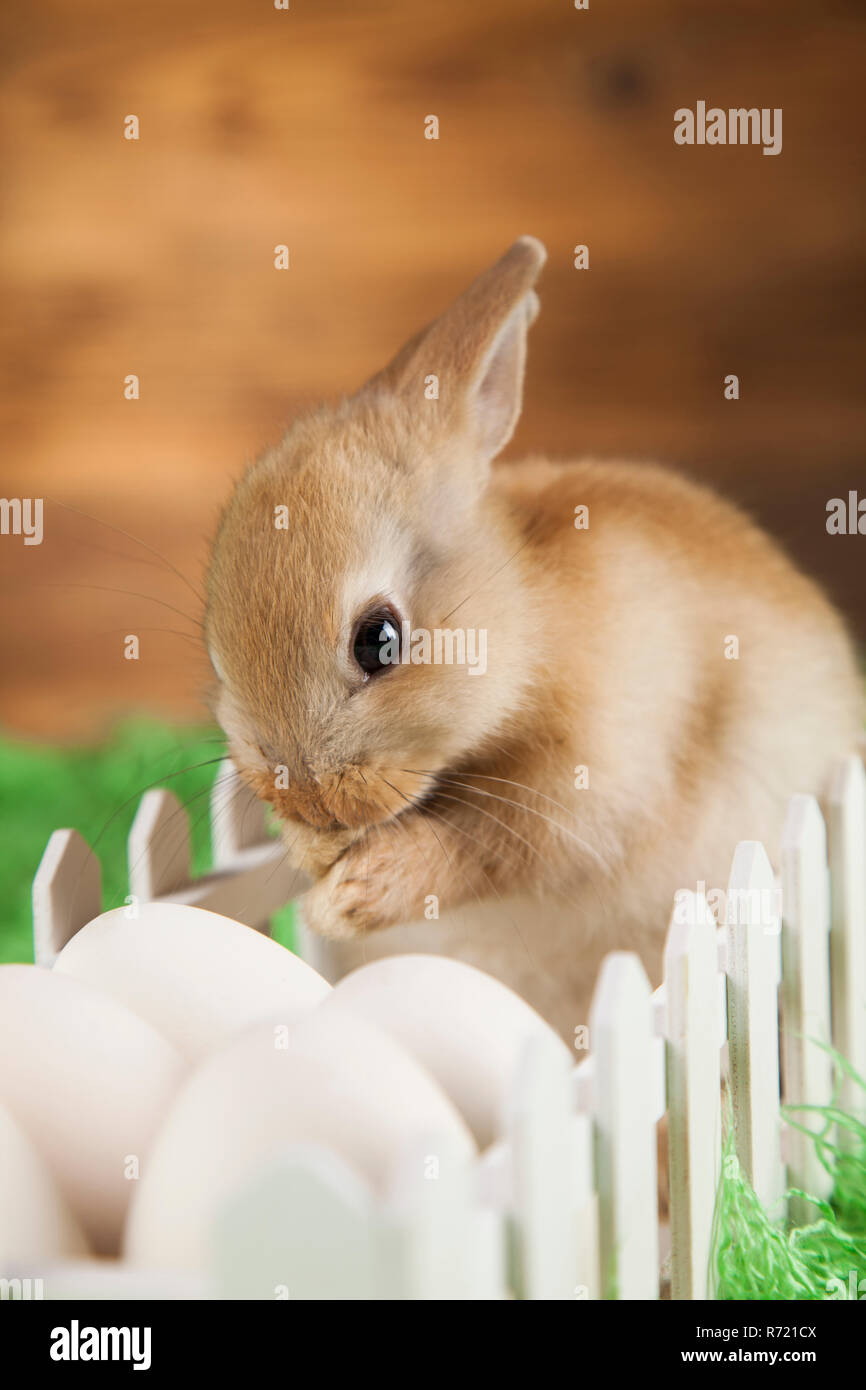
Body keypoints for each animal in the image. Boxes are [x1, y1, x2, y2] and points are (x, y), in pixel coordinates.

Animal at [204, 236, 863, 1043]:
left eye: (379, 640)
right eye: (217, 653)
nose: (302, 795)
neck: (527, 621)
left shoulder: (589, 788)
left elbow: (489, 847)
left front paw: (352, 893)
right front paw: (315, 853)